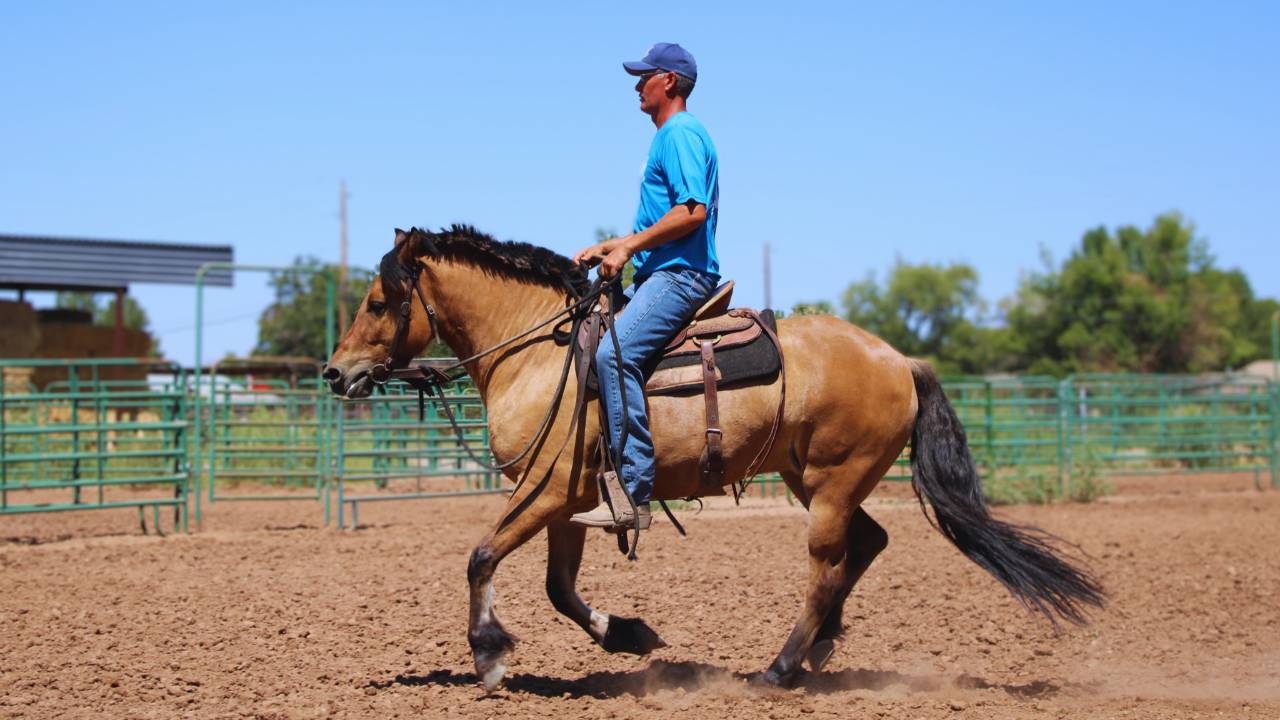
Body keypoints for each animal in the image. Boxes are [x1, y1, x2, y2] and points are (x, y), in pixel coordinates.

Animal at [323, 225, 1104, 691]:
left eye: (376, 301)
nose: (334, 373)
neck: (540, 354)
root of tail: (899, 359)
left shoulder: (546, 495)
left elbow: (482, 557)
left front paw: (488, 655)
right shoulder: (568, 504)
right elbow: (559, 590)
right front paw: (629, 635)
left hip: (830, 485)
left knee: (826, 569)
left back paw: (780, 668)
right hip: (810, 477)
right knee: (869, 543)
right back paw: (820, 647)